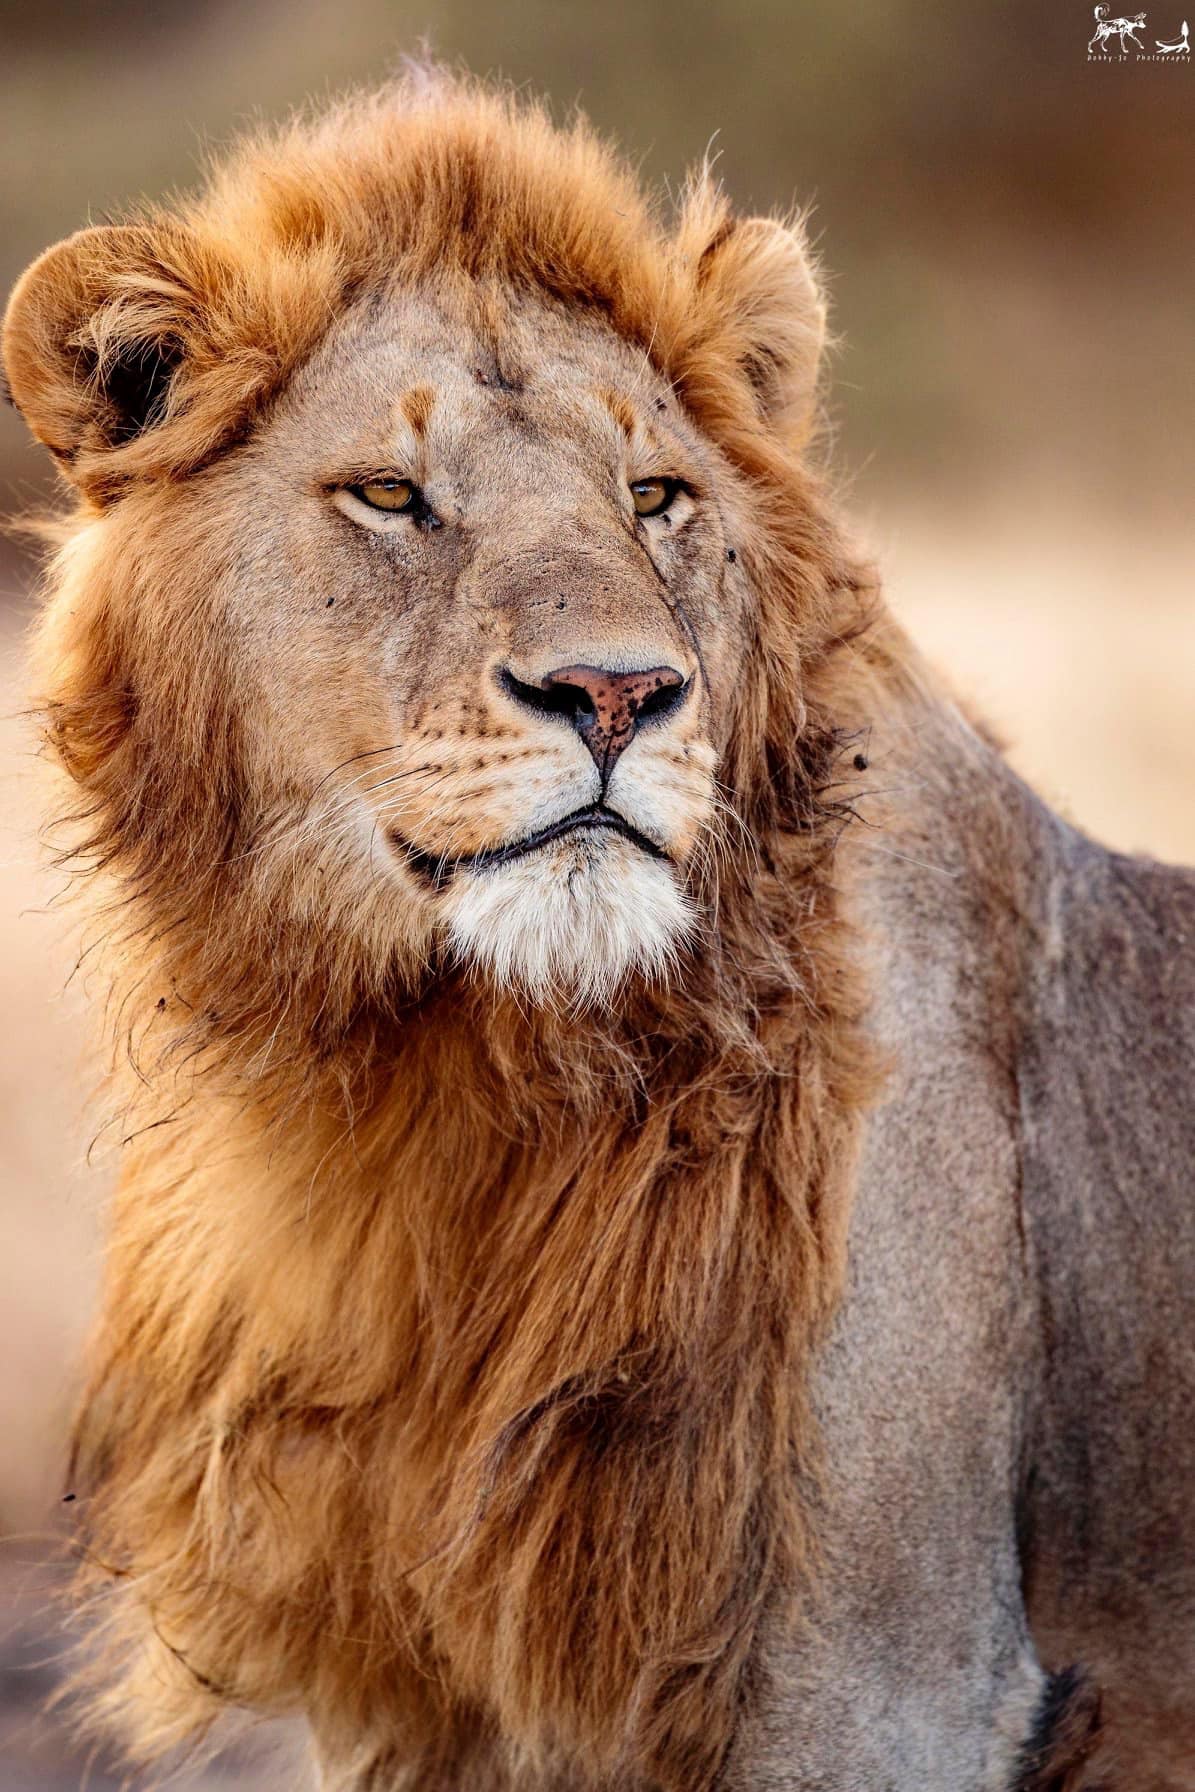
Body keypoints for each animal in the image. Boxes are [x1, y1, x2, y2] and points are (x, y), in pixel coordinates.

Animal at [4, 69, 1194, 1792]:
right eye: (390, 495)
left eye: (652, 496)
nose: (619, 692)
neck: (464, 1083)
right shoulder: (430, 1701)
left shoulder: (885, 1679)